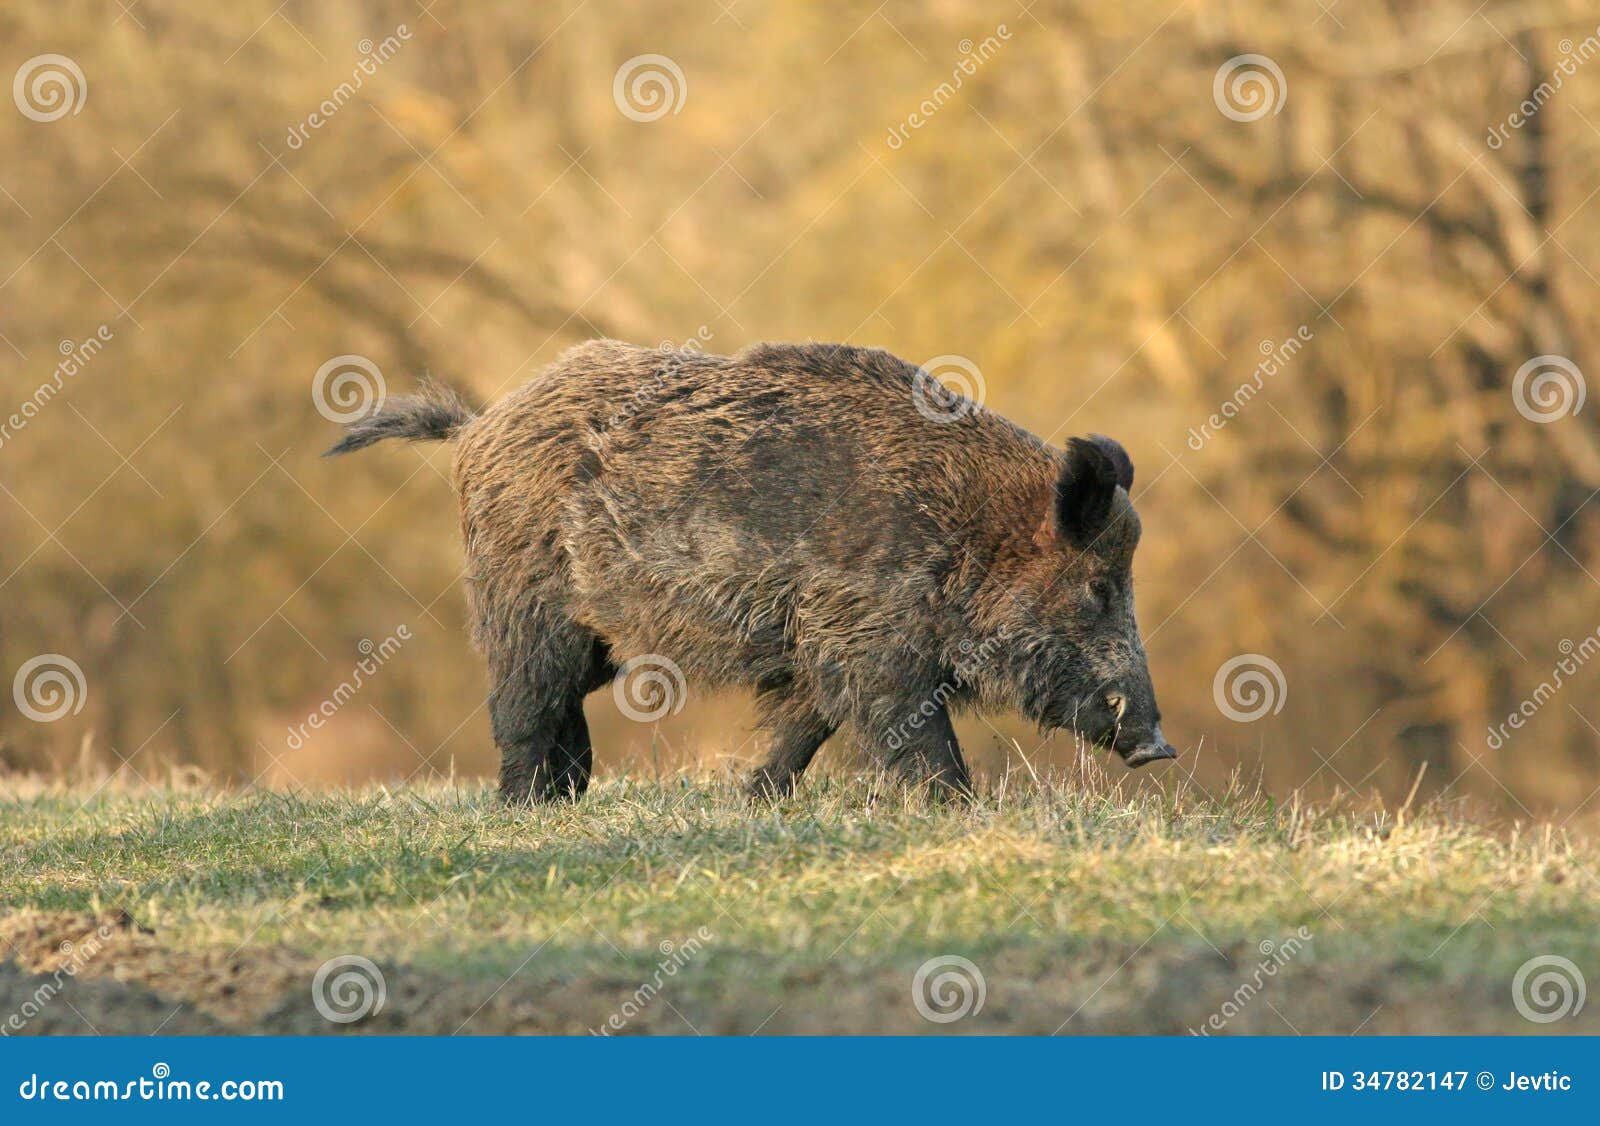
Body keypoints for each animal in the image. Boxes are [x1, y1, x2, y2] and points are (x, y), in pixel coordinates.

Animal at [326, 340, 1175, 804]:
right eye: (1098, 588)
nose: (1158, 745)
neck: (968, 532)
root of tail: (477, 427)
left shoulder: (822, 648)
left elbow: (804, 726)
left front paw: (756, 800)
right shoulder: (871, 644)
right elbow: (912, 735)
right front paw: (958, 810)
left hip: (595, 636)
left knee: (560, 704)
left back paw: (568, 796)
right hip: (525, 605)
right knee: (522, 702)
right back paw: (526, 808)